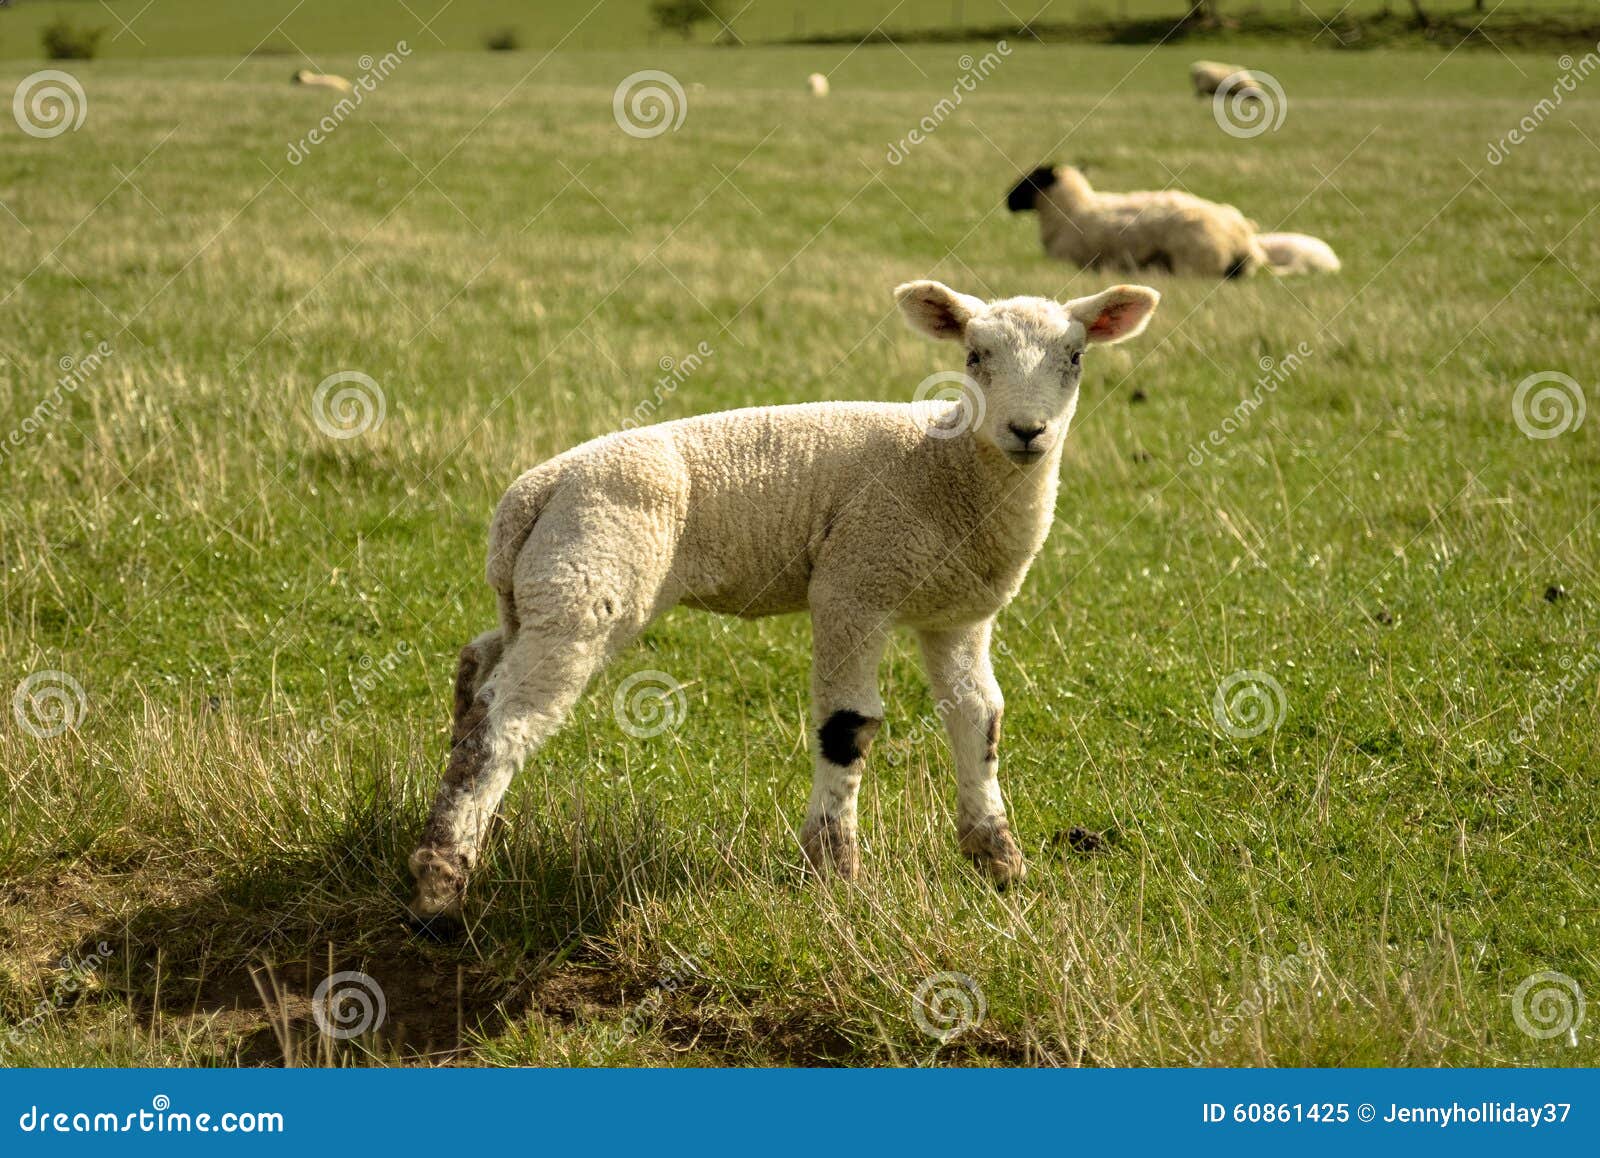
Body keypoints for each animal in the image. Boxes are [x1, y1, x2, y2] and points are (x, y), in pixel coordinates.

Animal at [407, 279, 1162, 923]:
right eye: (975, 356)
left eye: (1075, 357)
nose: (1028, 431)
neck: (949, 469)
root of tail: (529, 496)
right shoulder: (852, 585)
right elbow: (849, 726)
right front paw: (834, 869)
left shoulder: (959, 614)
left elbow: (980, 719)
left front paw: (997, 857)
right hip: (590, 582)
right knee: (504, 726)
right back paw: (442, 885)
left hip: (543, 588)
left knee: (477, 672)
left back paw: (460, 825)